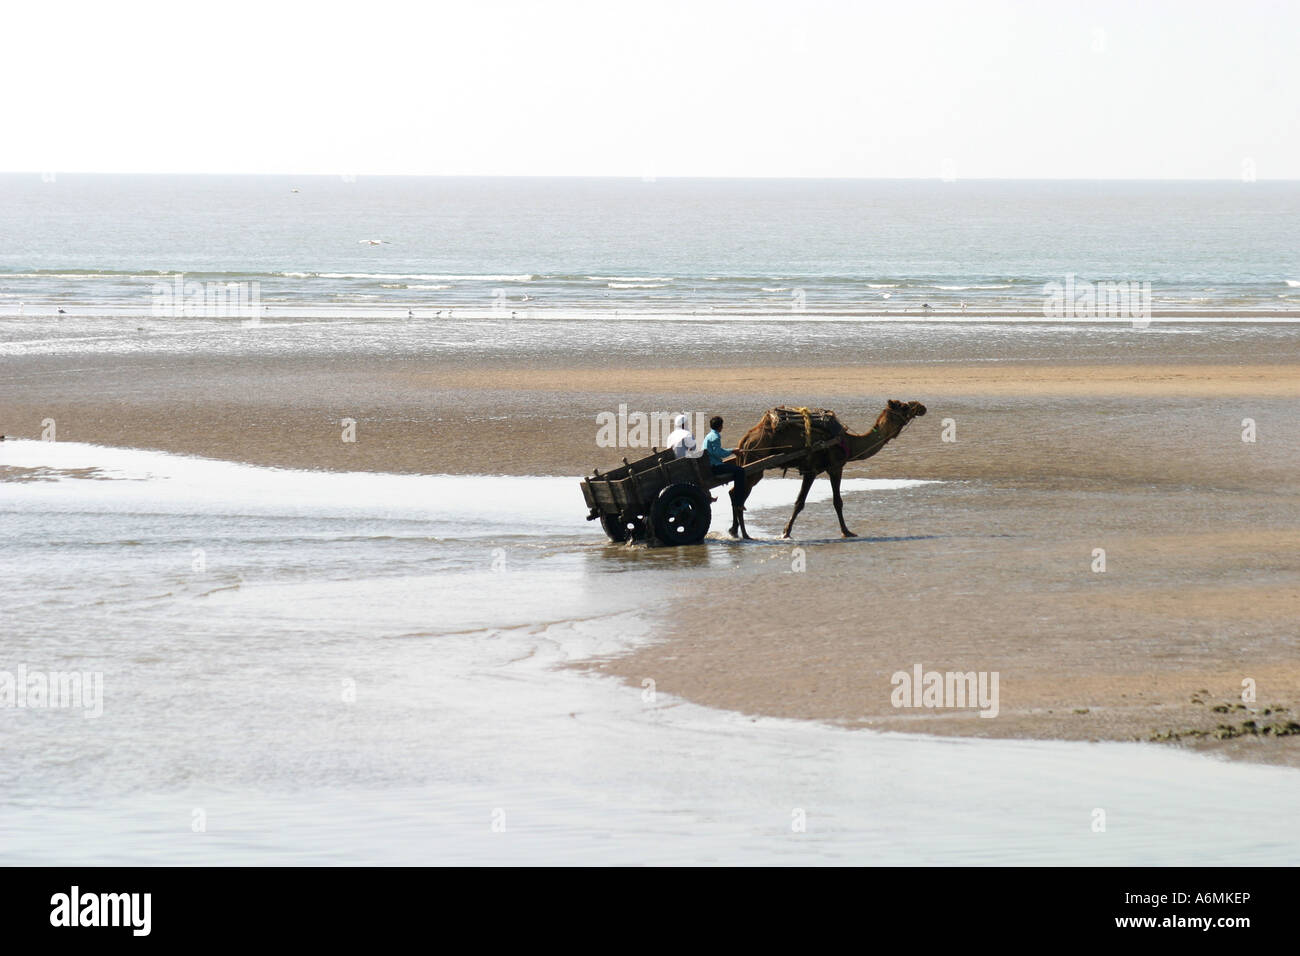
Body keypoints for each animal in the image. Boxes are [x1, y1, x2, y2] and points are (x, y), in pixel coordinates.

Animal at [732, 400, 927, 539]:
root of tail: (744, 440)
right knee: (738, 495)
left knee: (734, 493)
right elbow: (833, 501)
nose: (921, 406)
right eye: (904, 406)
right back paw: (744, 534)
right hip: (754, 465)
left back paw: (734, 531)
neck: (849, 443)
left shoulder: (812, 470)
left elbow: (801, 502)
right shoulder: (832, 467)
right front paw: (847, 532)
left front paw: (786, 531)